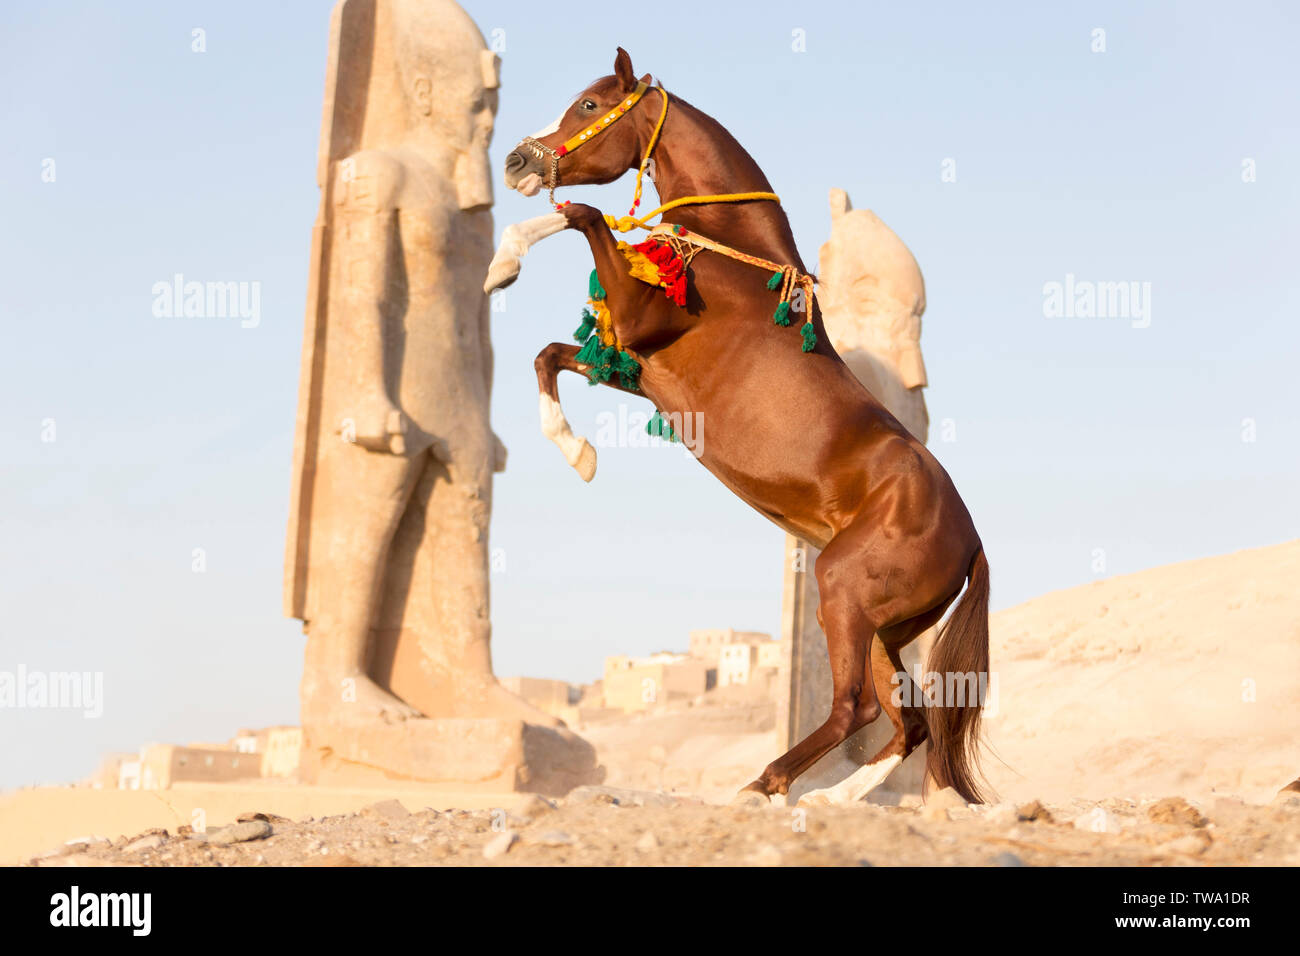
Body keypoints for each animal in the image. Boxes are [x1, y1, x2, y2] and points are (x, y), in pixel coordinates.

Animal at [485, 48, 991, 806]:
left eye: (589, 105)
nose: (517, 162)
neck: (730, 256)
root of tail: (972, 541)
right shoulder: (635, 367)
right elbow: (548, 354)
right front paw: (579, 453)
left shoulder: (638, 323)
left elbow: (583, 213)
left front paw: (503, 261)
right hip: (884, 628)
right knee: (911, 722)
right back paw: (837, 798)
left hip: (841, 591)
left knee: (856, 708)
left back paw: (764, 785)